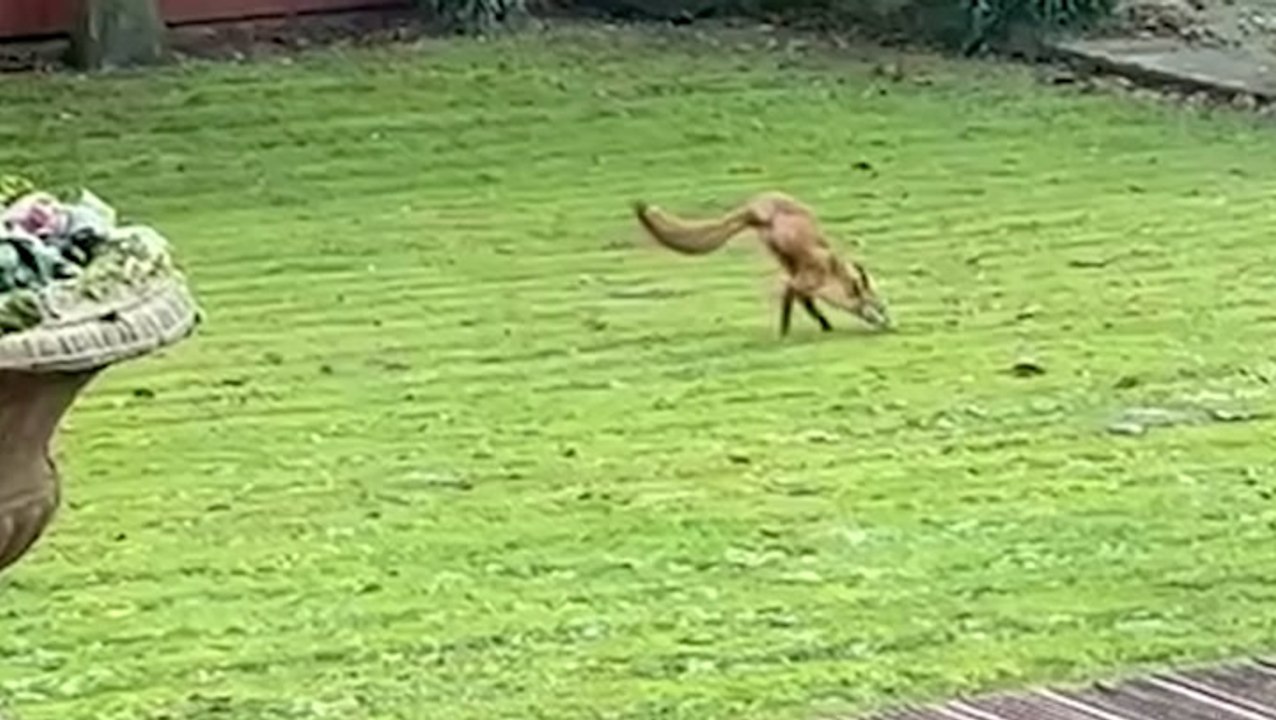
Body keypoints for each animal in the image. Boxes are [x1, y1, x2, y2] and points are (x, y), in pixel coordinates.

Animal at [631, 191, 892, 336]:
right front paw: (784, 333)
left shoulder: (801, 285)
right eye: (880, 308)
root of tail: (760, 197)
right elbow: (790, 305)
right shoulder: (798, 282)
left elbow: (810, 308)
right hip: (764, 218)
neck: (831, 275)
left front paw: (824, 325)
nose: (892, 324)